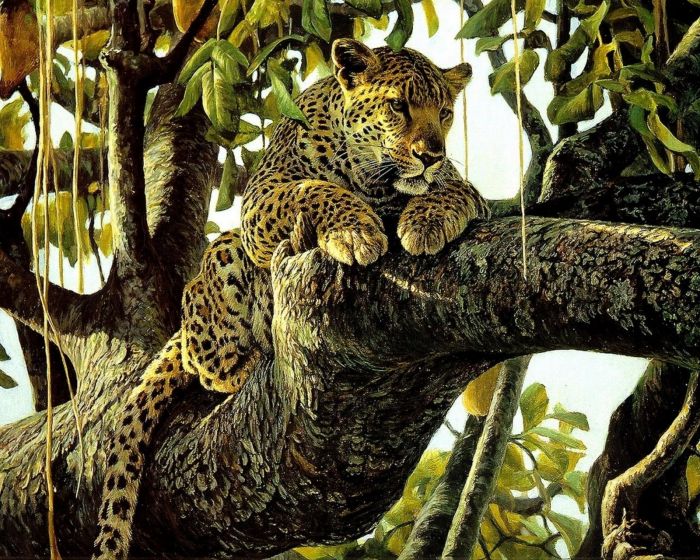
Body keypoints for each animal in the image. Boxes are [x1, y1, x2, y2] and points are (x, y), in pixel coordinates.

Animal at [91, 38, 489, 560]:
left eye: (444, 114)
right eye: (398, 106)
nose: (431, 154)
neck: (372, 180)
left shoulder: (466, 190)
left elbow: (453, 192)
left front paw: (424, 223)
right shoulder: (262, 200)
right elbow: (310, 190)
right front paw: (357, 231)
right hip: (223, 259)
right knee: (205, 362)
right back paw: (247, 364)